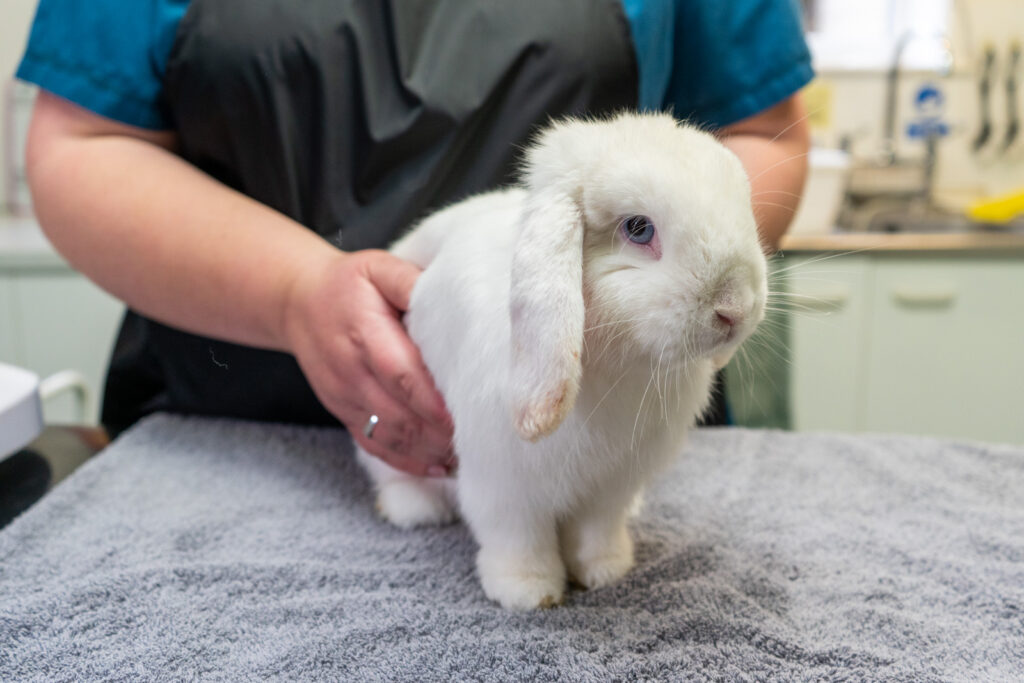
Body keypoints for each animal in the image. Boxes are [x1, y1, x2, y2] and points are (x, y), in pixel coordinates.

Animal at [355, 112, 767, 610]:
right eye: (638, 228)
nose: (735, 309)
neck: (621, 361)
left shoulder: (611, 484)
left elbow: (597, 529)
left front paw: (606, 570)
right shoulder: (505, 483)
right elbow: (518, 538)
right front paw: (529, 592)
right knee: (391, 475)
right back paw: (415, 510)